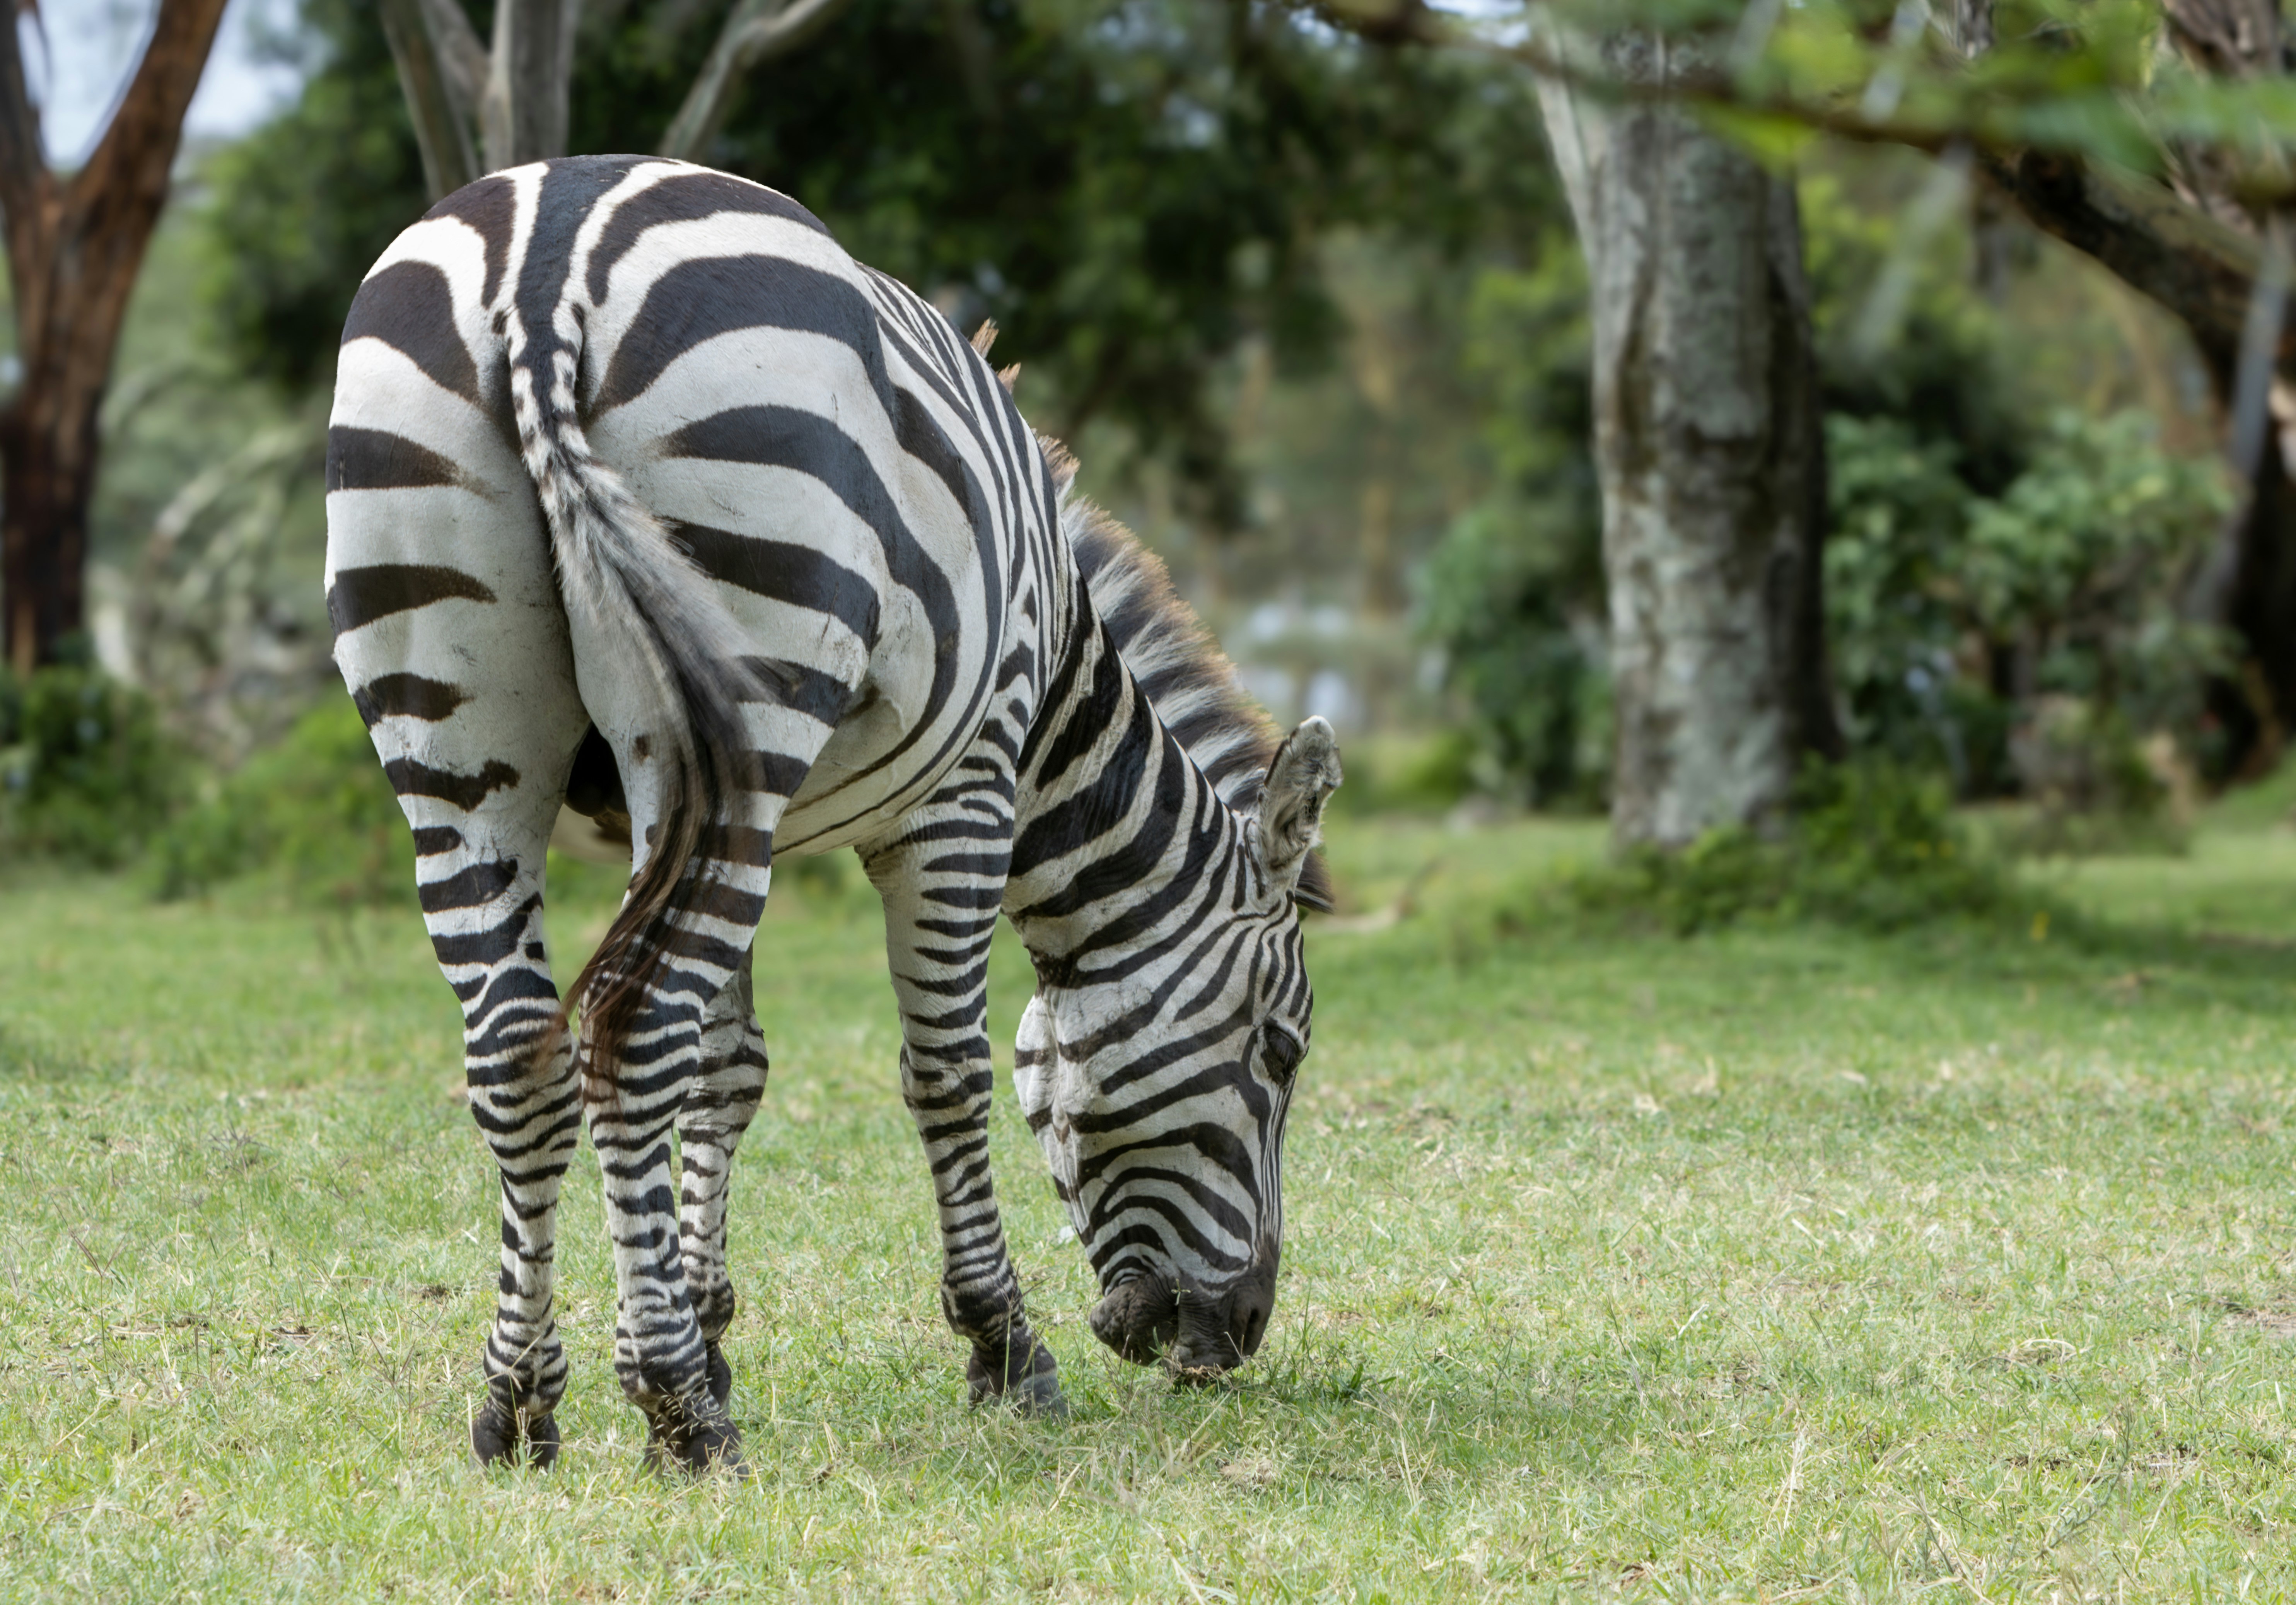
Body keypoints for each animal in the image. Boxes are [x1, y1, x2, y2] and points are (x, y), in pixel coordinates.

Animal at [326, 154, 1340, 1471]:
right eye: (1280, 1051)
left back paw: (520, 1401)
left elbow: (727, 1068)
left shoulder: (724, 823)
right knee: (629, 1037)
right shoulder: (962, 791)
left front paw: (705, 1323)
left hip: (465, 738)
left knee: (520, 1051)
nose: (1237, 1337)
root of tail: (549, 256)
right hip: (746, 659)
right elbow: (947, 1069)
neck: (1059, 695)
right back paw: (680, 1415)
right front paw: (1001, 1349)